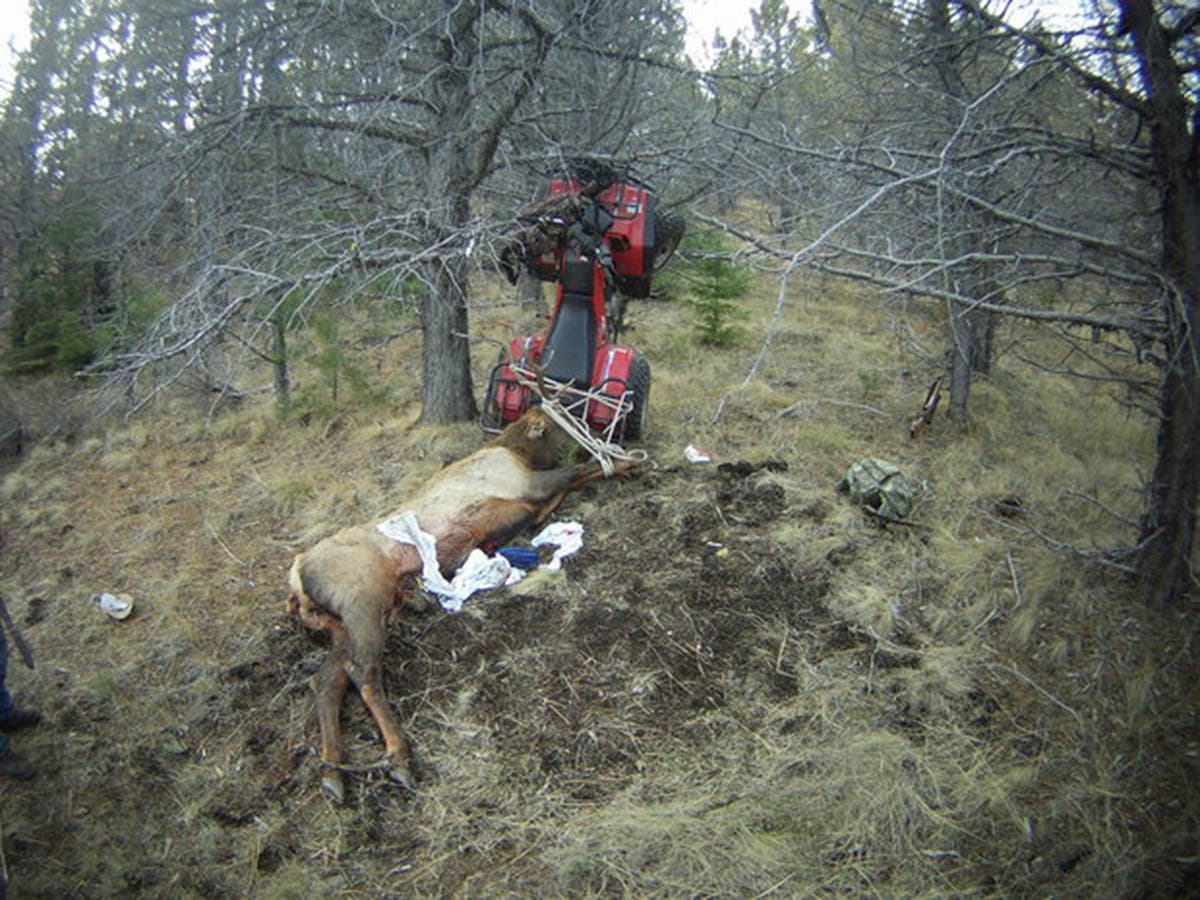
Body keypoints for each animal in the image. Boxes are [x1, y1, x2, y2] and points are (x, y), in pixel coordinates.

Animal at [286, 401, 641, 803]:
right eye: (564, 421)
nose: (605, 435)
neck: (521, 453)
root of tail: (297, 579)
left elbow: (577, 477)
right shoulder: (530, 484)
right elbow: (578, 471)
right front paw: (628, 462)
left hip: (341, 624)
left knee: (327, 680)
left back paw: (332, 772)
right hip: (362, 600)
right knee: (363, 670)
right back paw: (398, 756)